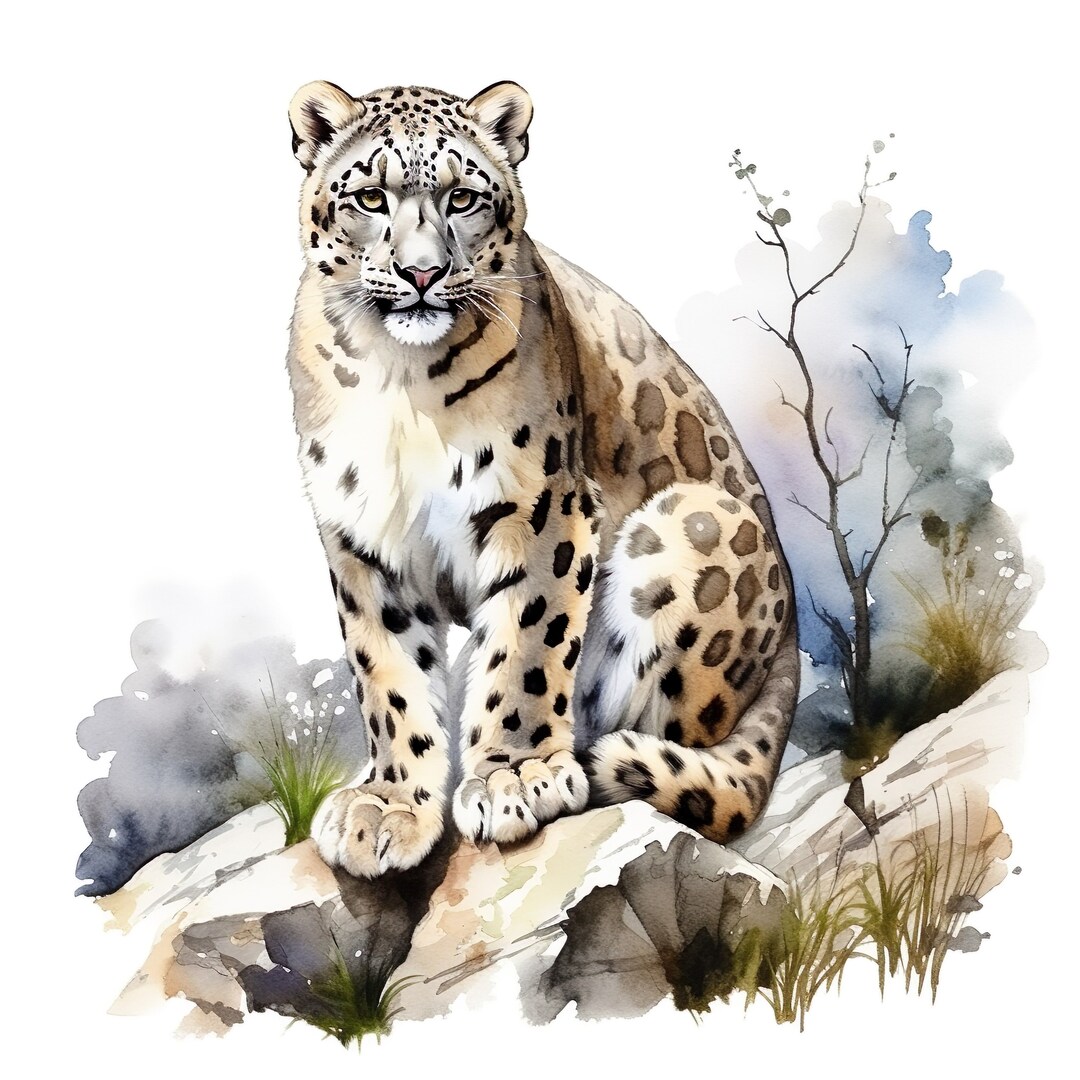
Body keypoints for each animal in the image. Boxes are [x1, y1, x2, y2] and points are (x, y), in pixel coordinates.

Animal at [288, 79, 799, 879]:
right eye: (370, 197)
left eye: (463, 198)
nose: (422, 273)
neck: (399, 381)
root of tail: (793, 646)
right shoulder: (362, 534)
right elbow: (388, 672)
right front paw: (392, 803)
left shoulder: (538, 509)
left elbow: (527, 646)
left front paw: (515, 776)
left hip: (692, 524)